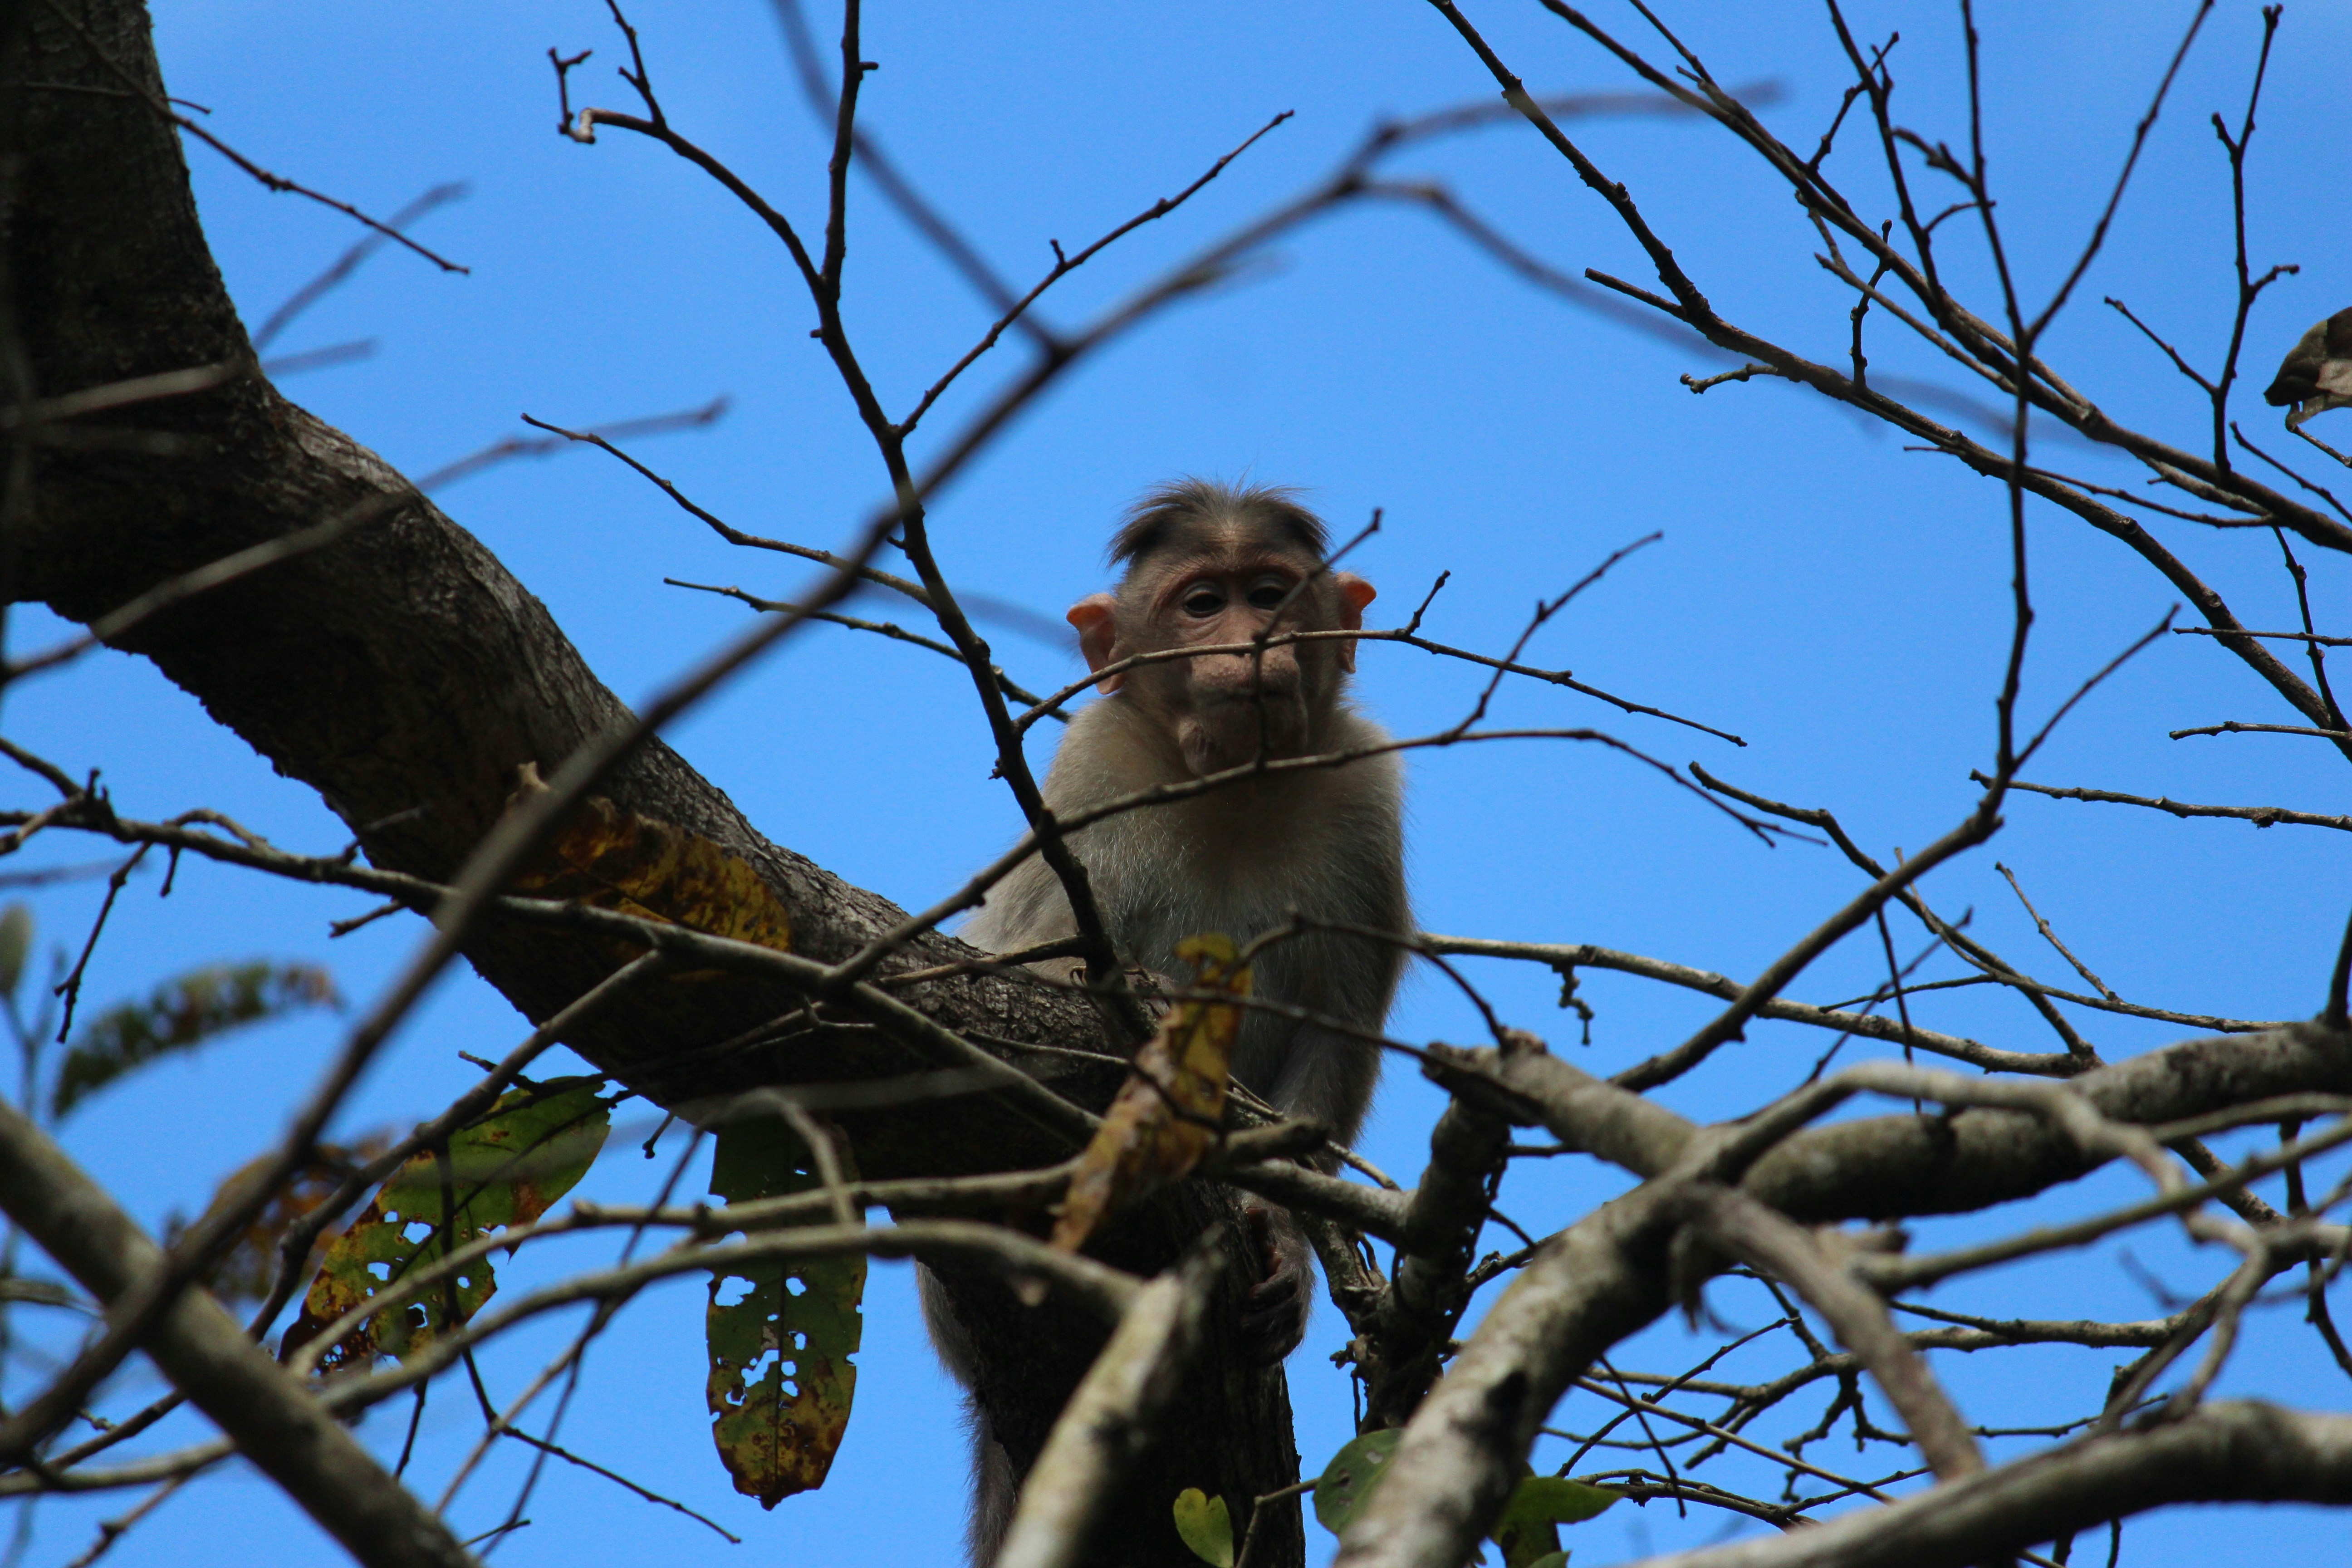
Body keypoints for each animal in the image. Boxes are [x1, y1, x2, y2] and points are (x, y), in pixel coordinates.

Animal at [920, 479, 1410, 1562]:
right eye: (1199, 605)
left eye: (1270, 593)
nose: (1251, 640)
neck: (1235, 791)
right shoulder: (1092, 775)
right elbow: (1041, 982)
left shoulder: (1364, 790)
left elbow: (1334, 1035)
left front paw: (1284, 1238)